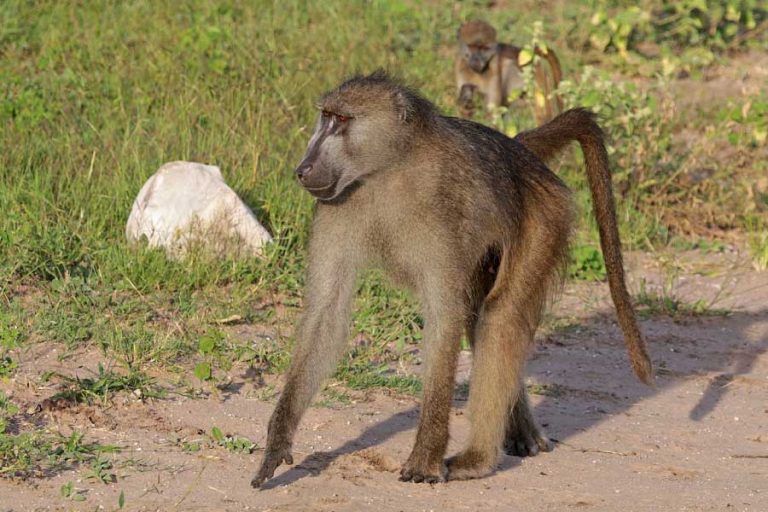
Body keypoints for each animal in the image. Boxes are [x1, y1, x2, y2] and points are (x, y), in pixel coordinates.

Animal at [251, 70, 651, 487]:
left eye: (341, 121)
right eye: (325, 117)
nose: (303, 168)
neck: (389, 168)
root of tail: (516, 151)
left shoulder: (443, 212)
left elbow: (444, 319)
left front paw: (425, 458)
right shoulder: (334, 206)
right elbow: (326, 314)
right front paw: (277, 441)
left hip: (545, 216)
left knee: (499, 317)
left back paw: (478, 458)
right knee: (482, 320)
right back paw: (520, 432)